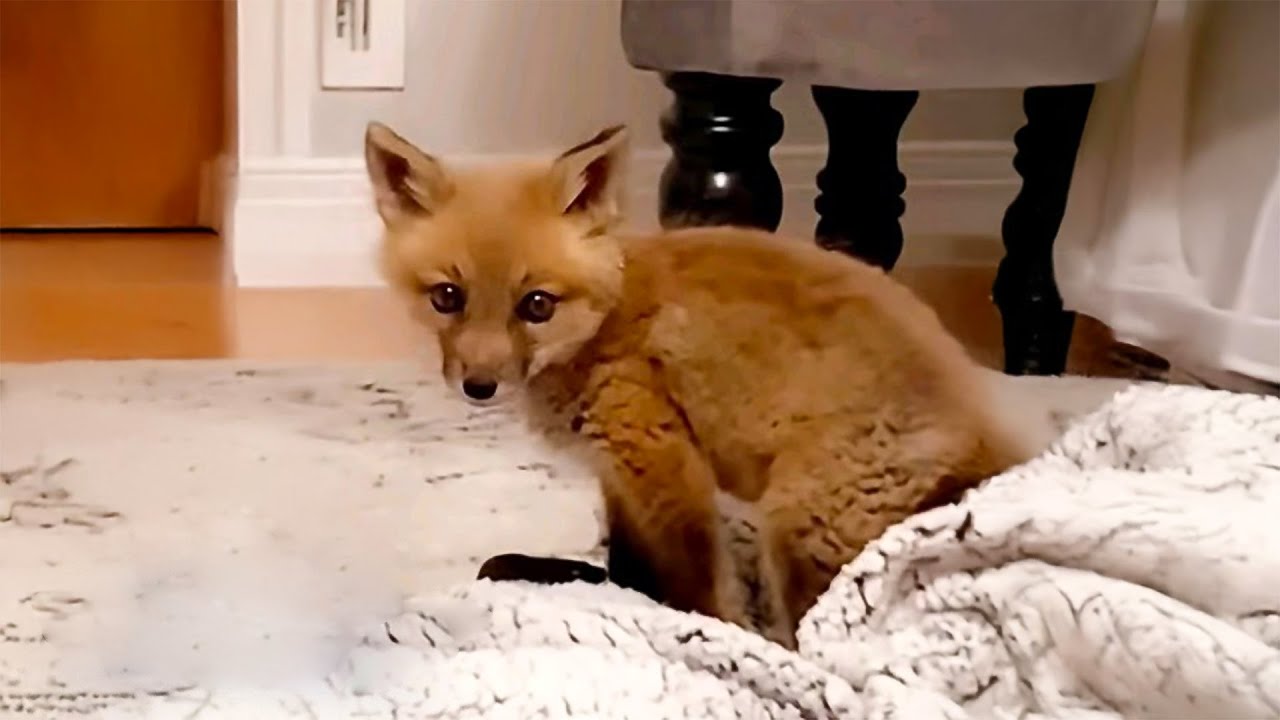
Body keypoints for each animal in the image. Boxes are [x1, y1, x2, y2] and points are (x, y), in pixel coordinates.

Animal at [364, 121, 1045, 645]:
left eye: (536, 305)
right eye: (447, 297)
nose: (479, 386)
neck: (602, 325)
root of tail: (984, 429)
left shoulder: (656, 453)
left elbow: (695, 581)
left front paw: (708, 633)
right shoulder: (618, 473)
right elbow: (627, 562)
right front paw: (592, 584)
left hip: (795, 527)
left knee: (819, 635)